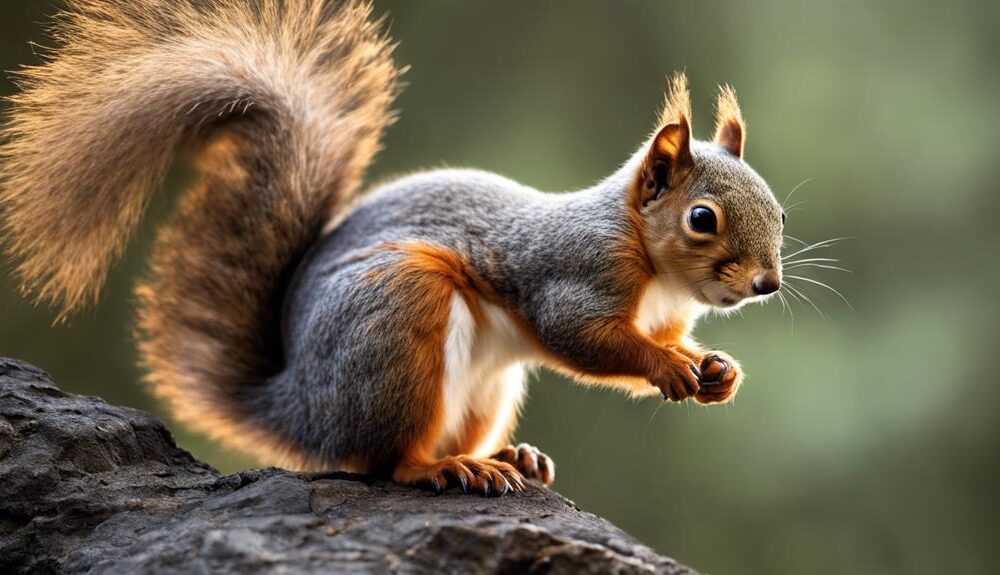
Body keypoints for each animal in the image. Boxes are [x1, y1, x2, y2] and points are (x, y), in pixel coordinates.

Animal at [0, 0, 785, 496]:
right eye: (703, 218)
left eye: (778, 210)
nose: (767, 284)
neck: (652, 268)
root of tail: (296, 406)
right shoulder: (572, 273)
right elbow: (584, 337)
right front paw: (669, 368)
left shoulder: (665, 313)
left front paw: (716, 371)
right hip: (398, 313)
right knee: (380, 460)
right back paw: (443, 469)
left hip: (486, 386)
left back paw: (505, 454)